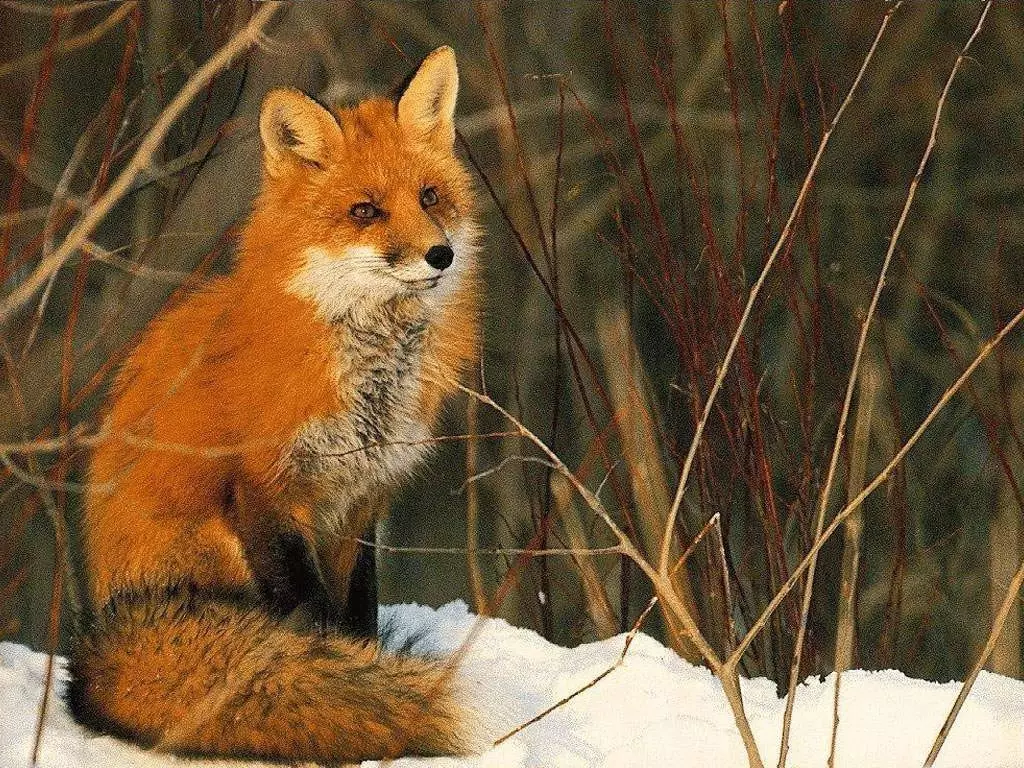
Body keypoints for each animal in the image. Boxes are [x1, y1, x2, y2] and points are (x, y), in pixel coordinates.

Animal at [67, 48, 483, 765]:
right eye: (365, 211)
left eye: (430, 197)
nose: (440, 254)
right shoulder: (267, 491)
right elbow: (311, 619)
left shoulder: (359, 502)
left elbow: (355, 618)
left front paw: (364, 680)